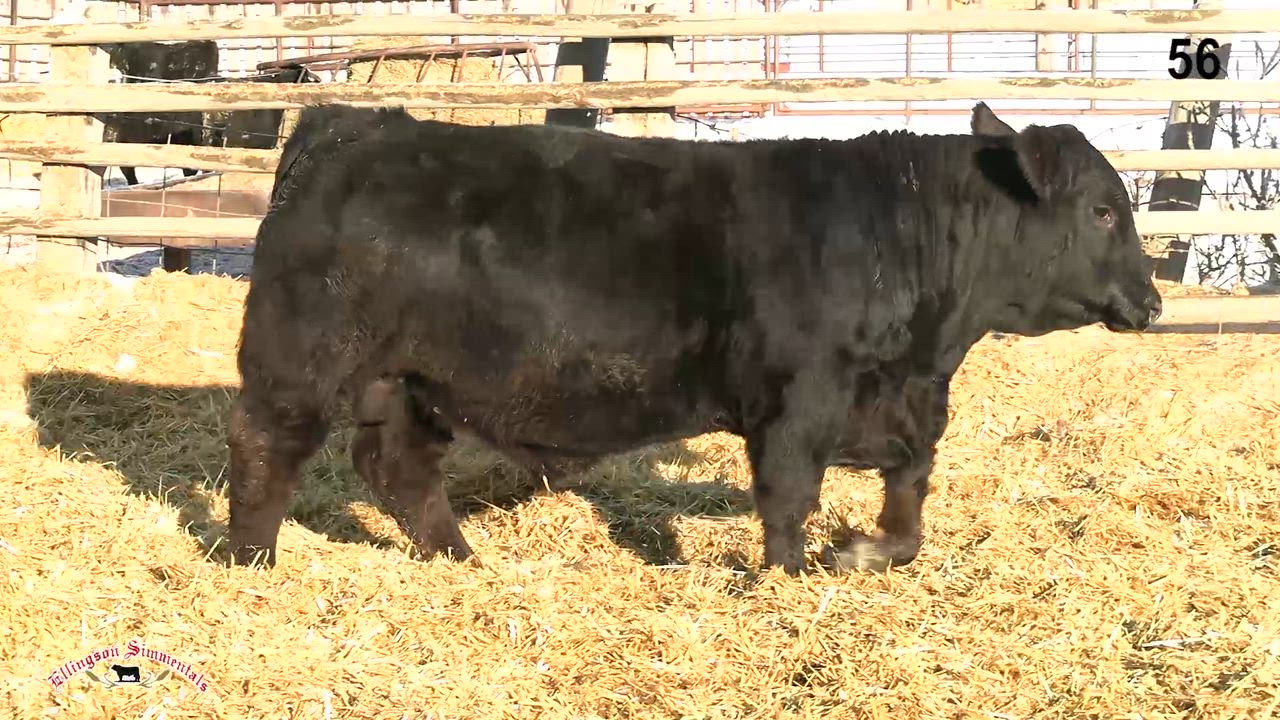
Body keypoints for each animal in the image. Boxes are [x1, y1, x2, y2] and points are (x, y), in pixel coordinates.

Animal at [226, 102, 1162, 576]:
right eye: (1102, 210)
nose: (1151, 301)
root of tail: (352, 124)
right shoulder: (798, 404)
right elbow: (788, 499)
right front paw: (786, 578)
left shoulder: (902, 402)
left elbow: (909, 501)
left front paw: (863, 550)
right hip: (301, 361)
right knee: (267, 448)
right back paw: (253, 560)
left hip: (408, 382)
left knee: (399, 469)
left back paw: (461, 559)